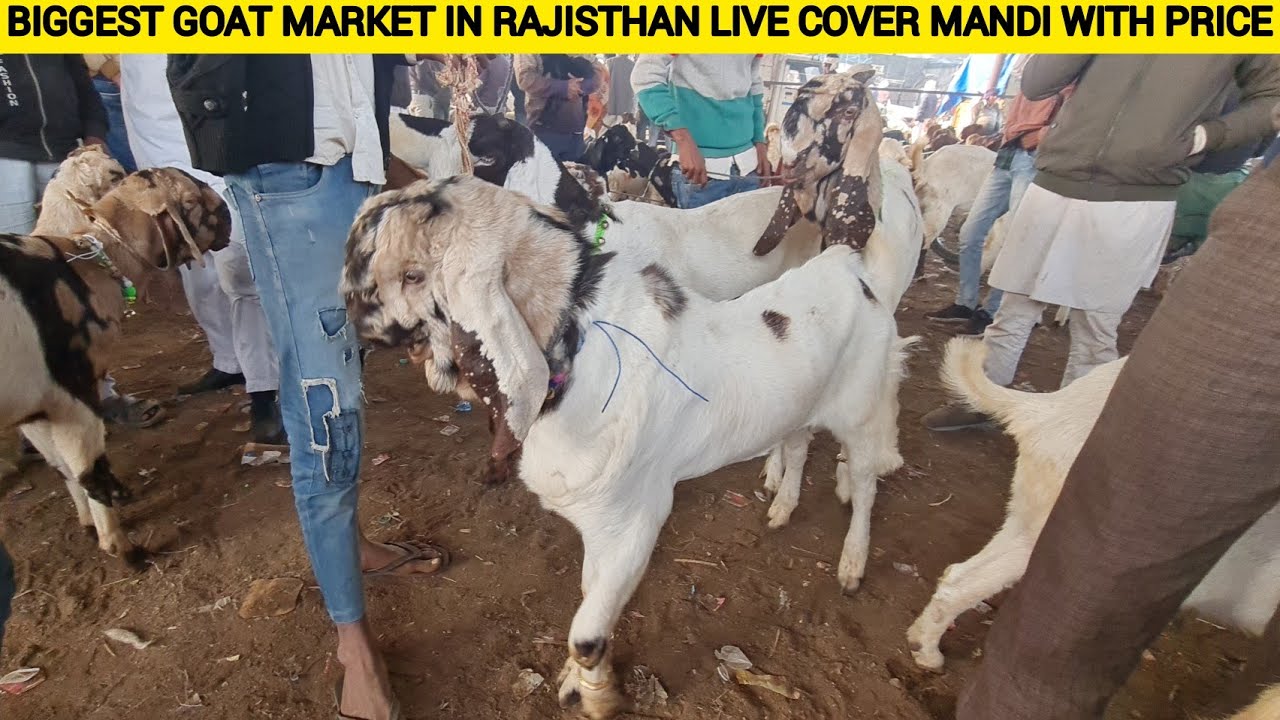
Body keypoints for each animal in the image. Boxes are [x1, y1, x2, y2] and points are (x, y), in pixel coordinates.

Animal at [2, 166, 231, 566]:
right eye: (194, 198)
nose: (230, 216)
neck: (83, 267)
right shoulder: (73, 398)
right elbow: (88, 472)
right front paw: (122, 548)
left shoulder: (35, 406)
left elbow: (63, 468)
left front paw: (88, 524)